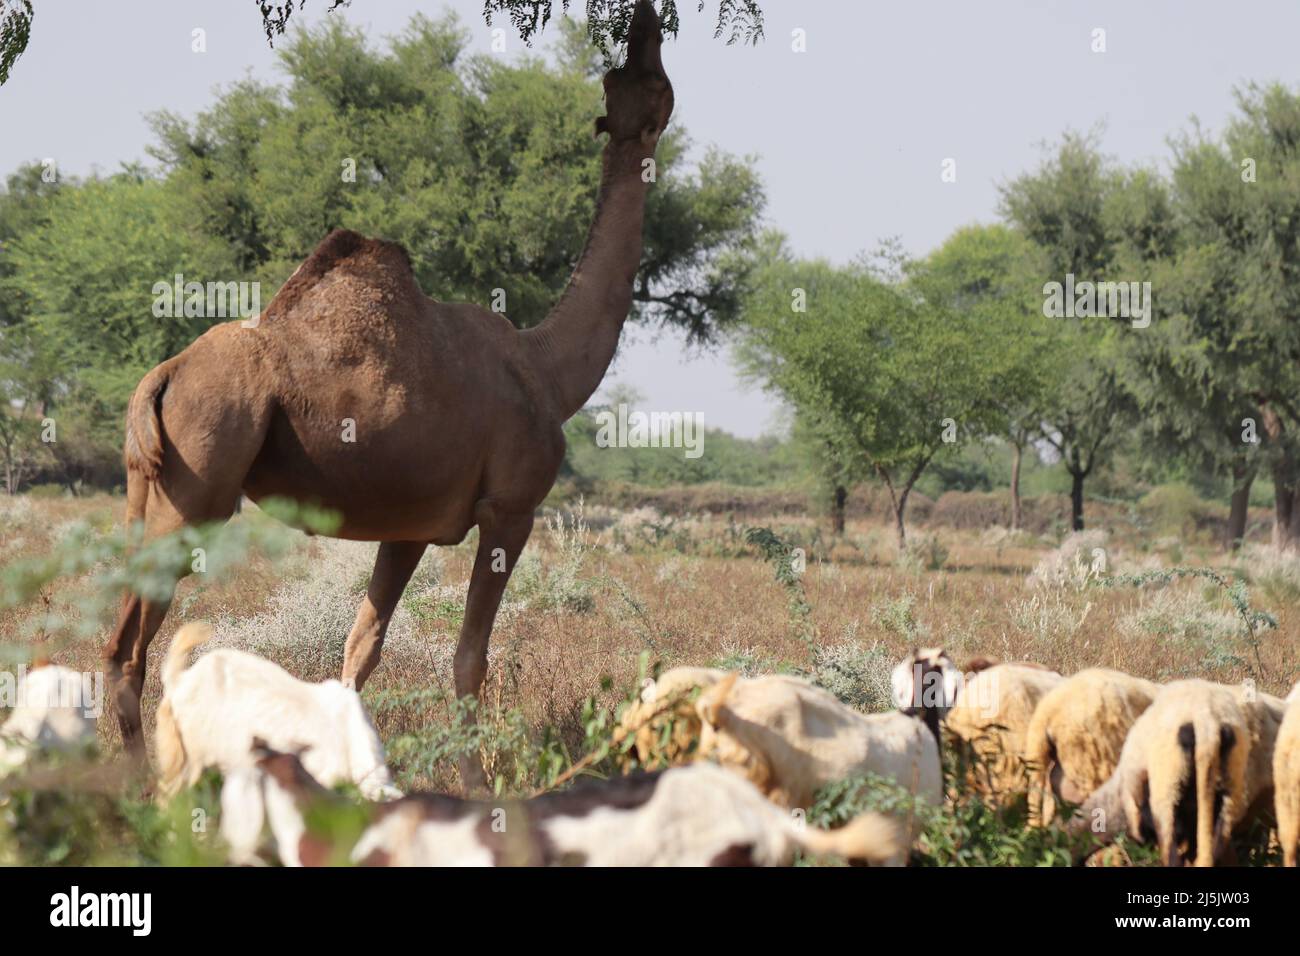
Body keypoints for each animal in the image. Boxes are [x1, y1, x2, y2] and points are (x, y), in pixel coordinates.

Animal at [103, 0, 674, 789]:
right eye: (651, 88)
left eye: (629, 82)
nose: (645, 27)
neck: (549, 370)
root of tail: (162, 376)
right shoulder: (511, 509)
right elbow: (469, 658)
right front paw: (476, 784)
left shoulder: (410, 528)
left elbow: (358, 651)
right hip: (199, 481)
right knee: (130, 649)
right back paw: (147, 787)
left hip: (145, 484)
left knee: (120, 636)